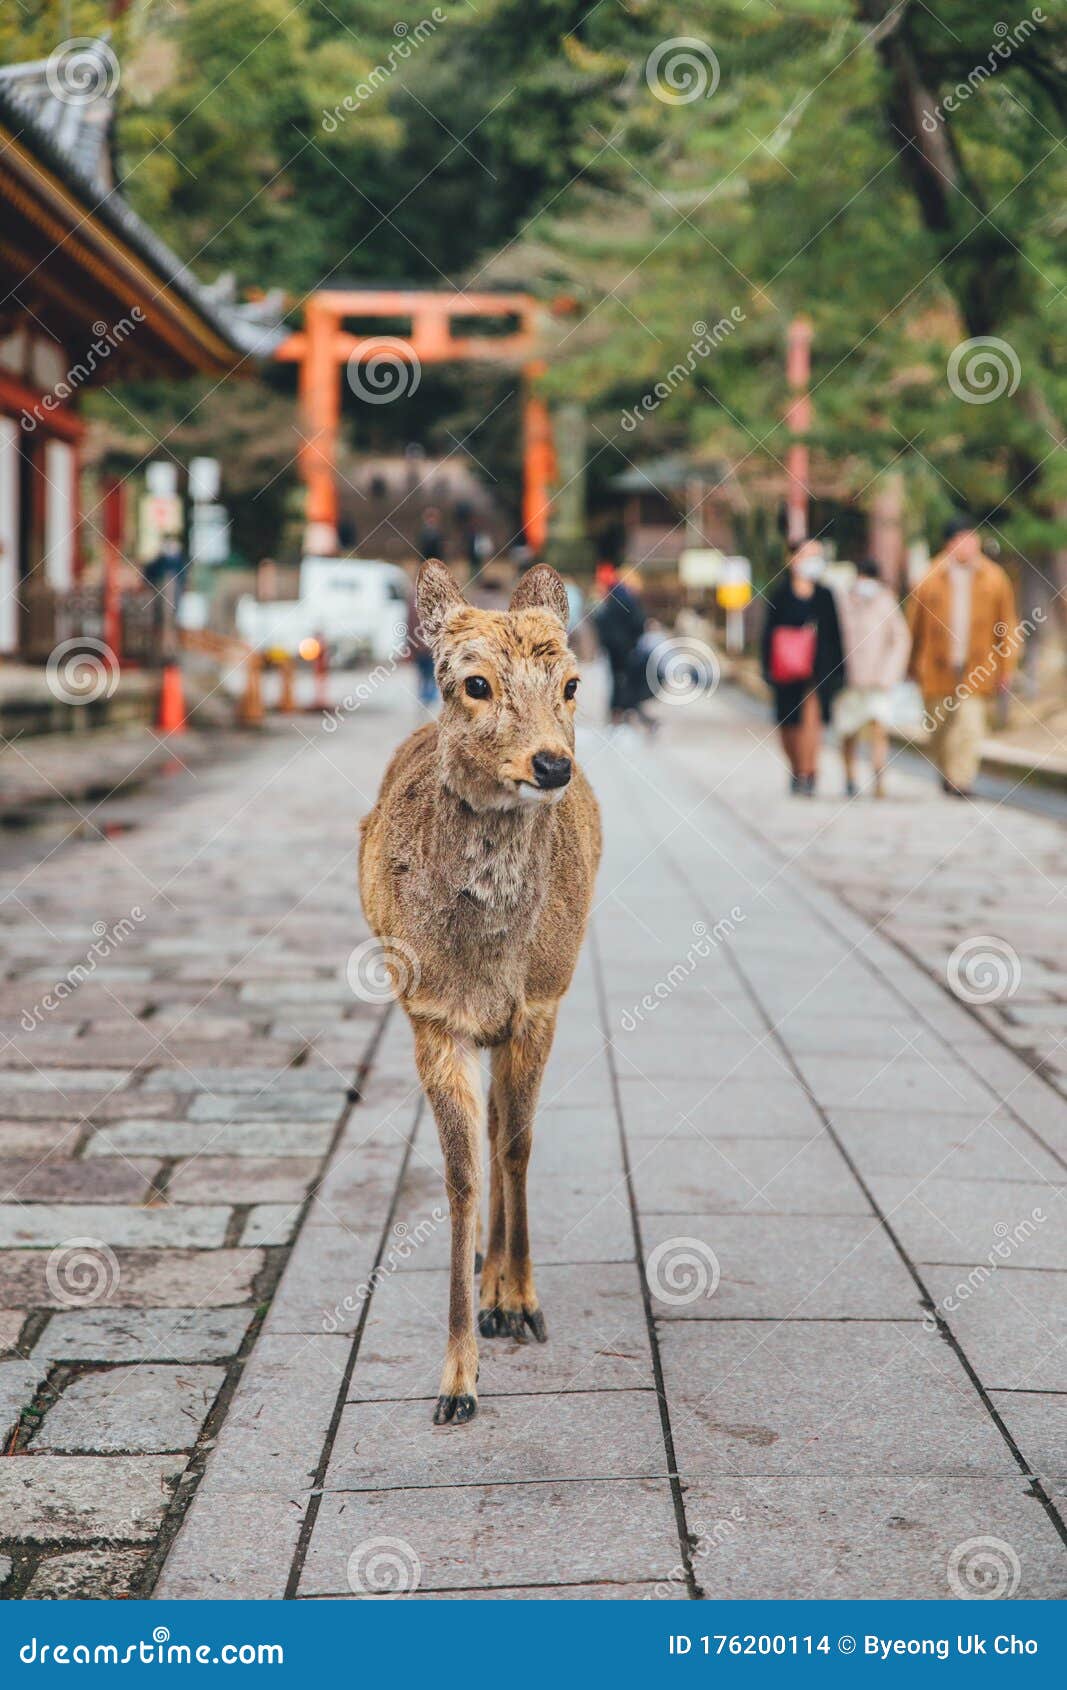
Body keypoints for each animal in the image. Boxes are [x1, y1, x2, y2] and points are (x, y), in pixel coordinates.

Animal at [358, 560, 601, 1426]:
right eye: (474, 682)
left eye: (571, 682)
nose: (551, 765)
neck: (486, 965)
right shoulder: (431, 1017)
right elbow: (460, 1174)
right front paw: (456, 1382)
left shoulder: (541, 1002)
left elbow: (516, 1145)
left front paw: (520, 1301)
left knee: (503, 1129)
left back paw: (498, 1285)